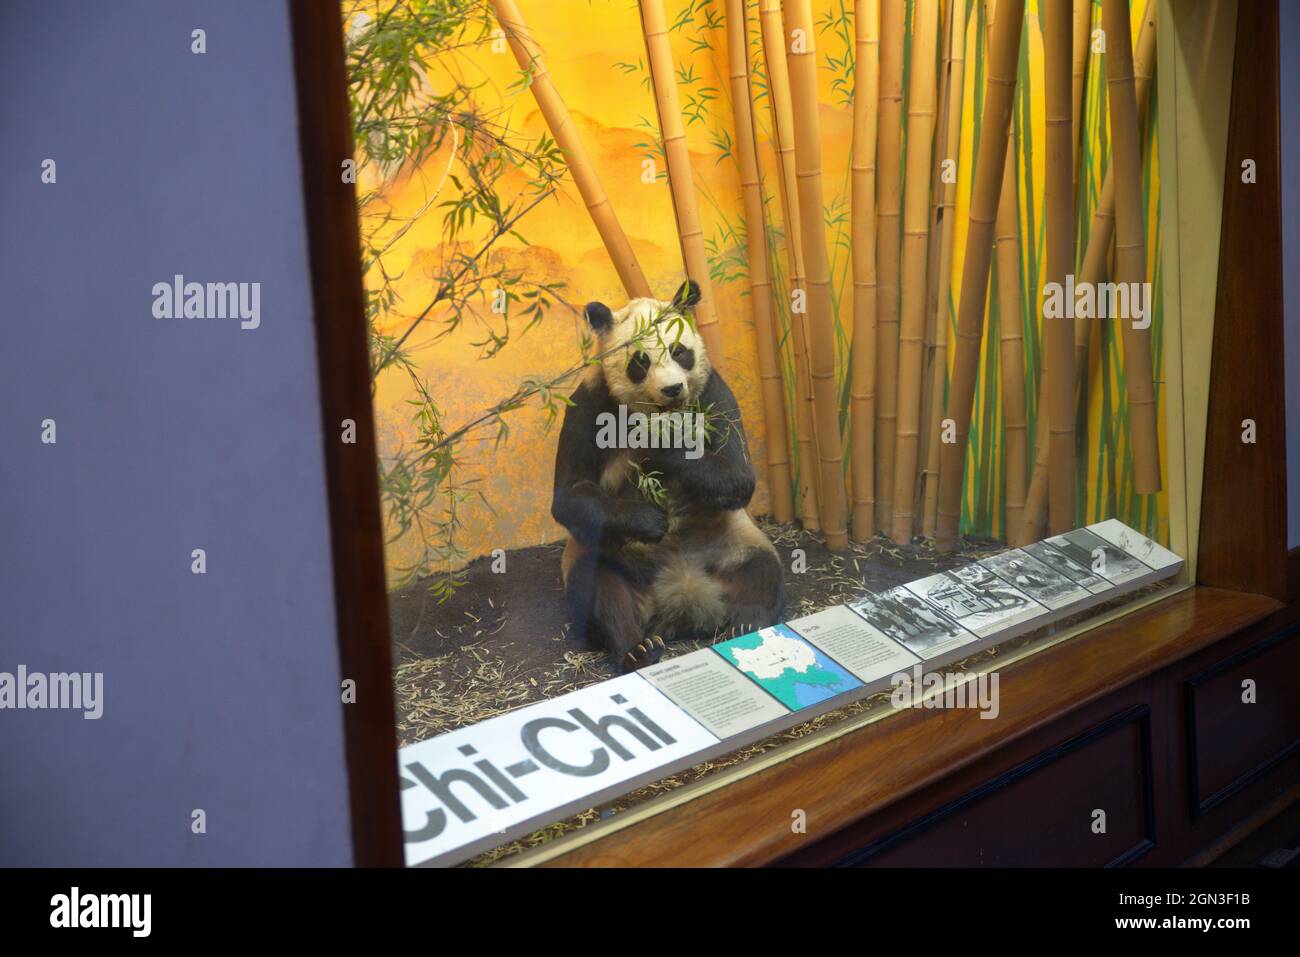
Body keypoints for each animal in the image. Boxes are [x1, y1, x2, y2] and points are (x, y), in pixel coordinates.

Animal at [551, 279, 785, 671]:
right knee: (600, 587)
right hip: (609, 553)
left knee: (761, 571)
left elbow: (736, 474)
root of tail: (684, 598)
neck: (660, 411)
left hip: (733, 542)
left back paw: (747, 626)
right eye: (640, 362)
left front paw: (659, 439)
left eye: (679, 351)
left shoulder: (712, 391)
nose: (672, 389)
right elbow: (569, 493)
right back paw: (638, 649)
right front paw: (652, 519)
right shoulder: (590, 401)